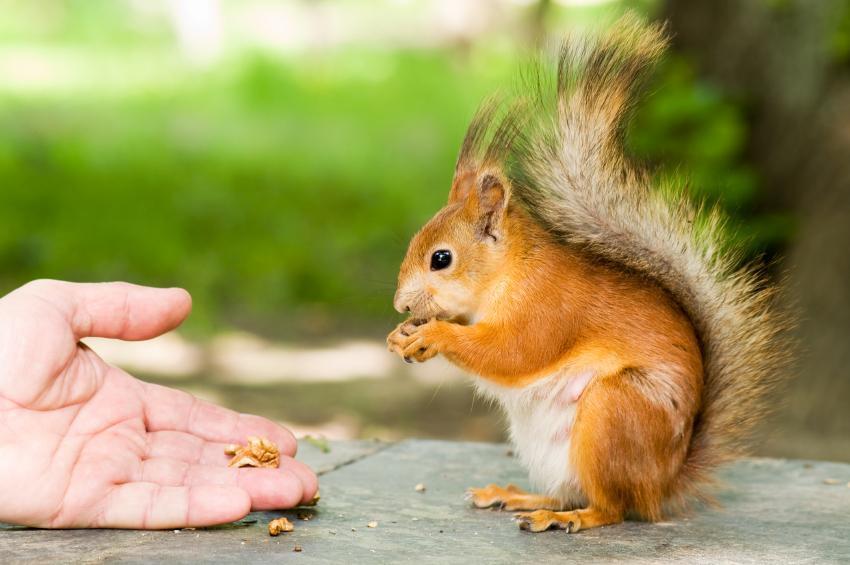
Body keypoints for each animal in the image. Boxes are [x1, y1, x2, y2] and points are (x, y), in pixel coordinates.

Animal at [386, 15, 792, 533]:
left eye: (441, 259)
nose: (400, 304)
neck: (511, 272)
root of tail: (662, 482)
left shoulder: (551, 307)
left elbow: (514, 352)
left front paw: (433, 335)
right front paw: (402, 334)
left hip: (612, 411)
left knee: (611, 507)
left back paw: (569, 518)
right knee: (570, 490)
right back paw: (518, 497)